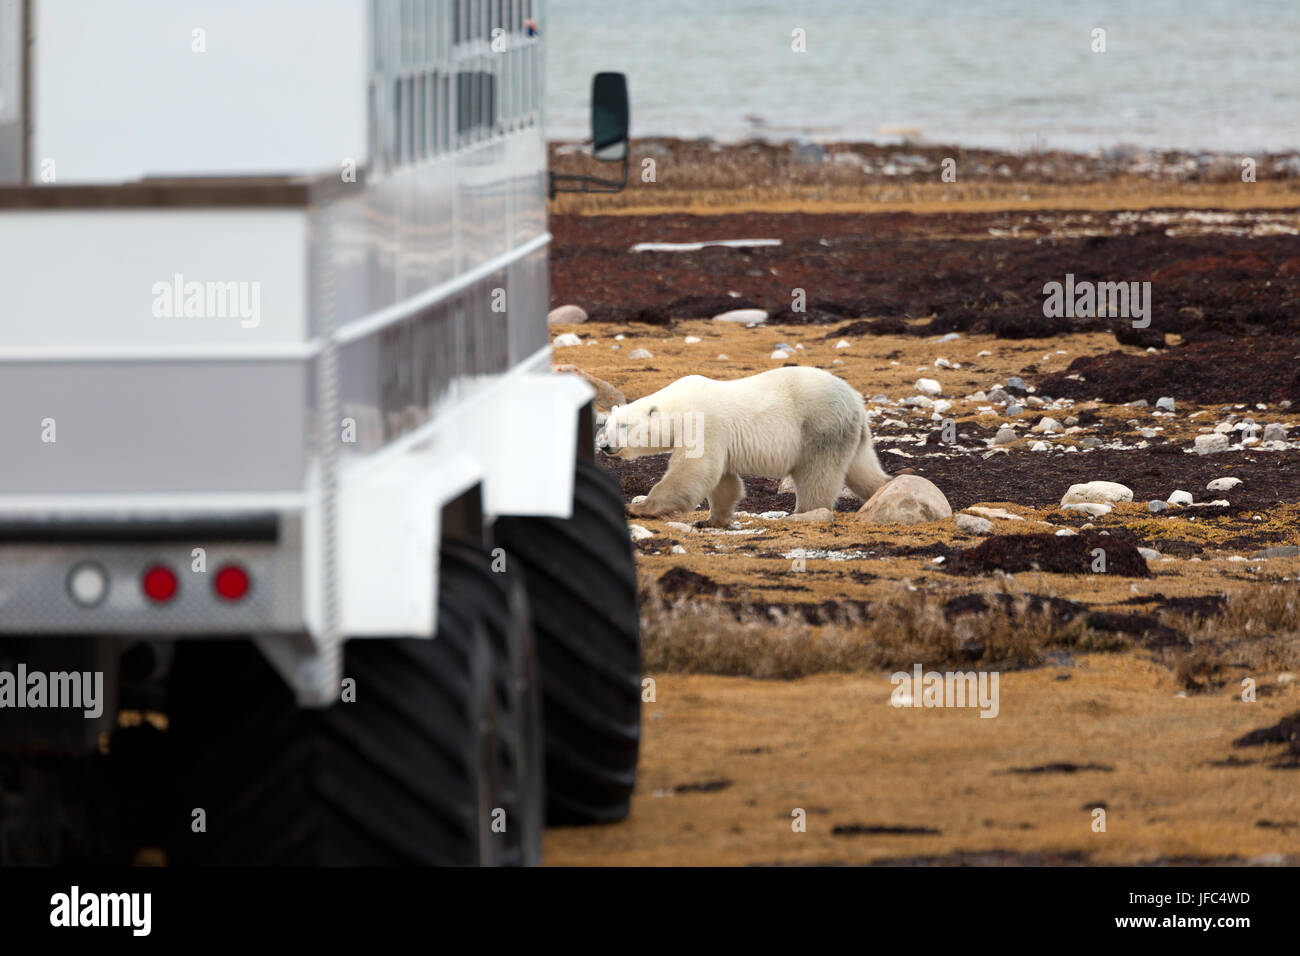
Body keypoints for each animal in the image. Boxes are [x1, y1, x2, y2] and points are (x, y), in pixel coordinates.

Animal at [596, 366, 891, 526]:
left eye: (624, 426)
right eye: (607, 425)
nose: (606, 446)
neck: (679, 406)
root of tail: (855, 397)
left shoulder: (704, 425)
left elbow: (693, 471)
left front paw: (638, 507)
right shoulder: (719, 439)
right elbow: (723, 480)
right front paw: (714, 519)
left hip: (818, 424)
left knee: (817, 473)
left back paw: (805, 512)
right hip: (849, 432)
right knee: (862, 469)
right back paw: (883, 490)